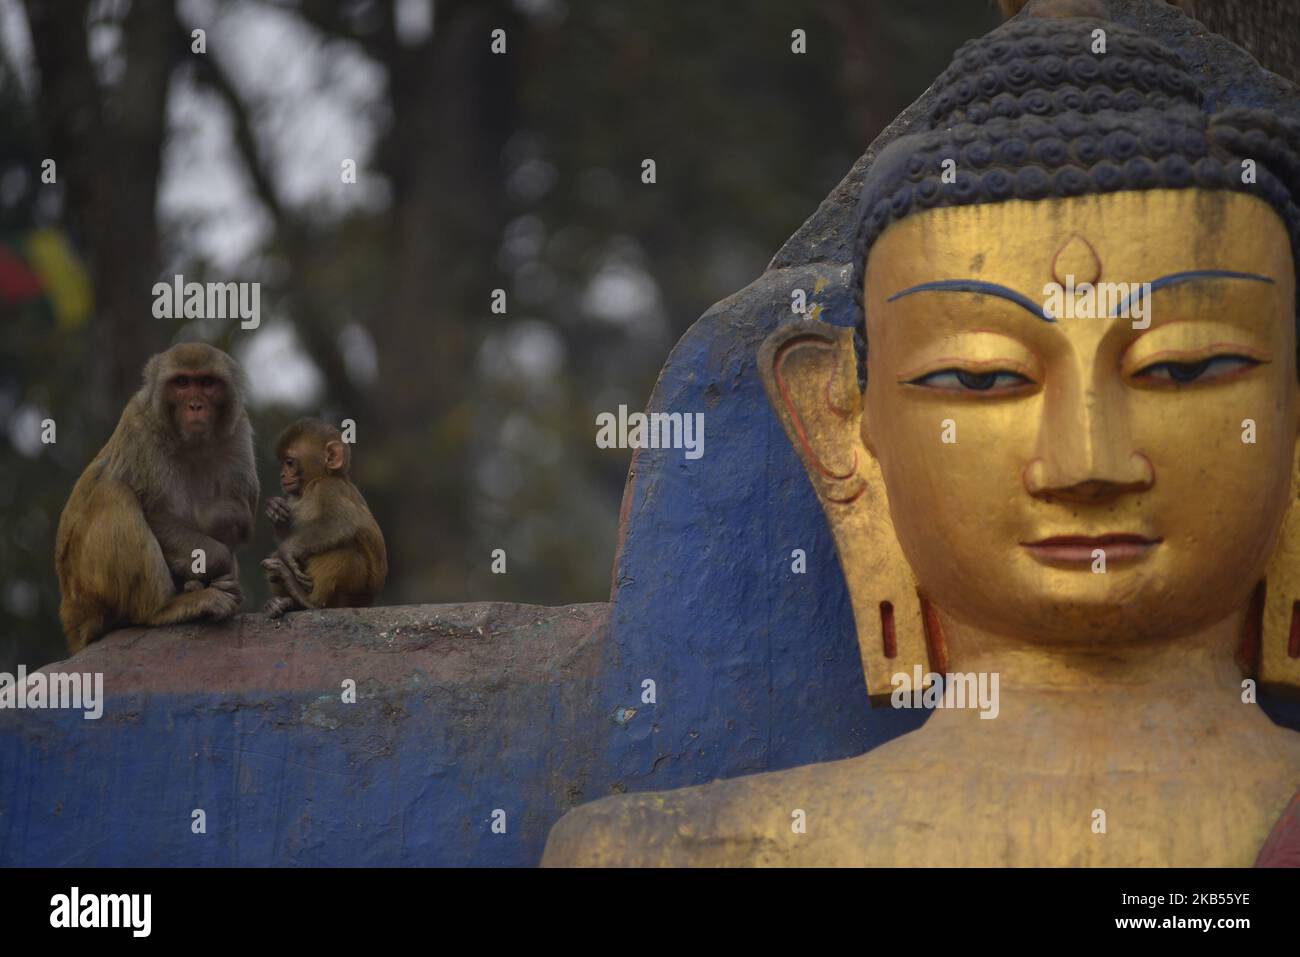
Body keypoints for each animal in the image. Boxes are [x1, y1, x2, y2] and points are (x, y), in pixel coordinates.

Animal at [55, 342, 259, 653]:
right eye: (182, 383)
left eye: (207, 383)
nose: (196, 406)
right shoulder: (140, 430)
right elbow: (155, 512)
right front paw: (221, 564)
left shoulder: (238, 432)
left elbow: (238, 515)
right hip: (87, 591)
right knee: (114, 492)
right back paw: (163, 608)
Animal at [261, 417, 387, 618]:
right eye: (283, 463)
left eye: (289, 463)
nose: (282, 475)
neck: (313, 483)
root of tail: (367, 601)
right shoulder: (294, 497)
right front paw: (274, 508)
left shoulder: (329, 488)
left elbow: (340, 523)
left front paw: (287, 551)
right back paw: (283, 603)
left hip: (352, 592)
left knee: (344, 549)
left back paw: (308, 600)